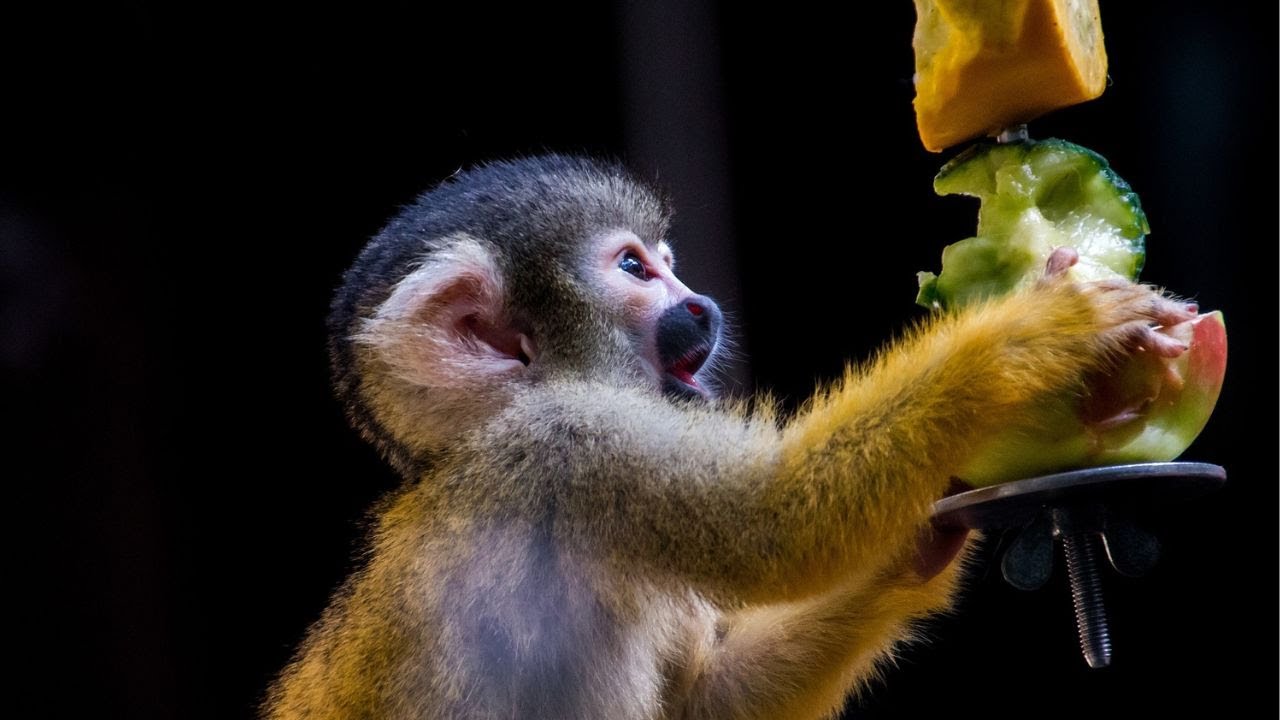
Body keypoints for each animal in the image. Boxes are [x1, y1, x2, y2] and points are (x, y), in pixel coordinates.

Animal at [262, 154, 1194, 720]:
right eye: (635, 268)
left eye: (669, 261)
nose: (701, 304)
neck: (477, 438)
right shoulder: (567, 447)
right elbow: (776, 526)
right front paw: (1026, 339)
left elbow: (714, 703)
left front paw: (920, 546)